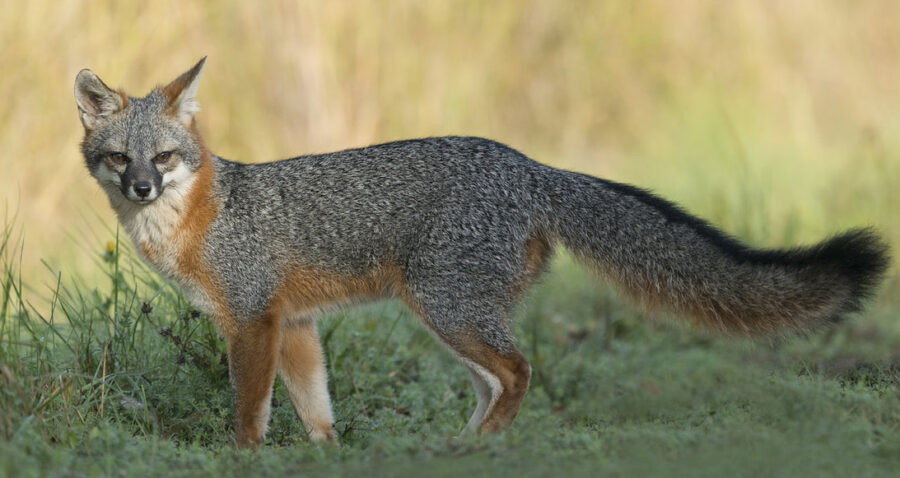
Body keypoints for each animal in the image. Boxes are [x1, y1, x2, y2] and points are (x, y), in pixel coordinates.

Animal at [74, 58, 889, 448]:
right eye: (119, 158)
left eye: (164, 158)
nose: (143, 187)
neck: (200, 218)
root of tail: (529, 164)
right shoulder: (296, 324)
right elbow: (318, 413)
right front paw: (327, 458)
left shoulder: (252, 321)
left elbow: (251, 414)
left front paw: (241, 460)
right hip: (453, 318)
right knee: (497, 383)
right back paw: (463, 448)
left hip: (447, 309)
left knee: (520, 373)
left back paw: (477, 448)